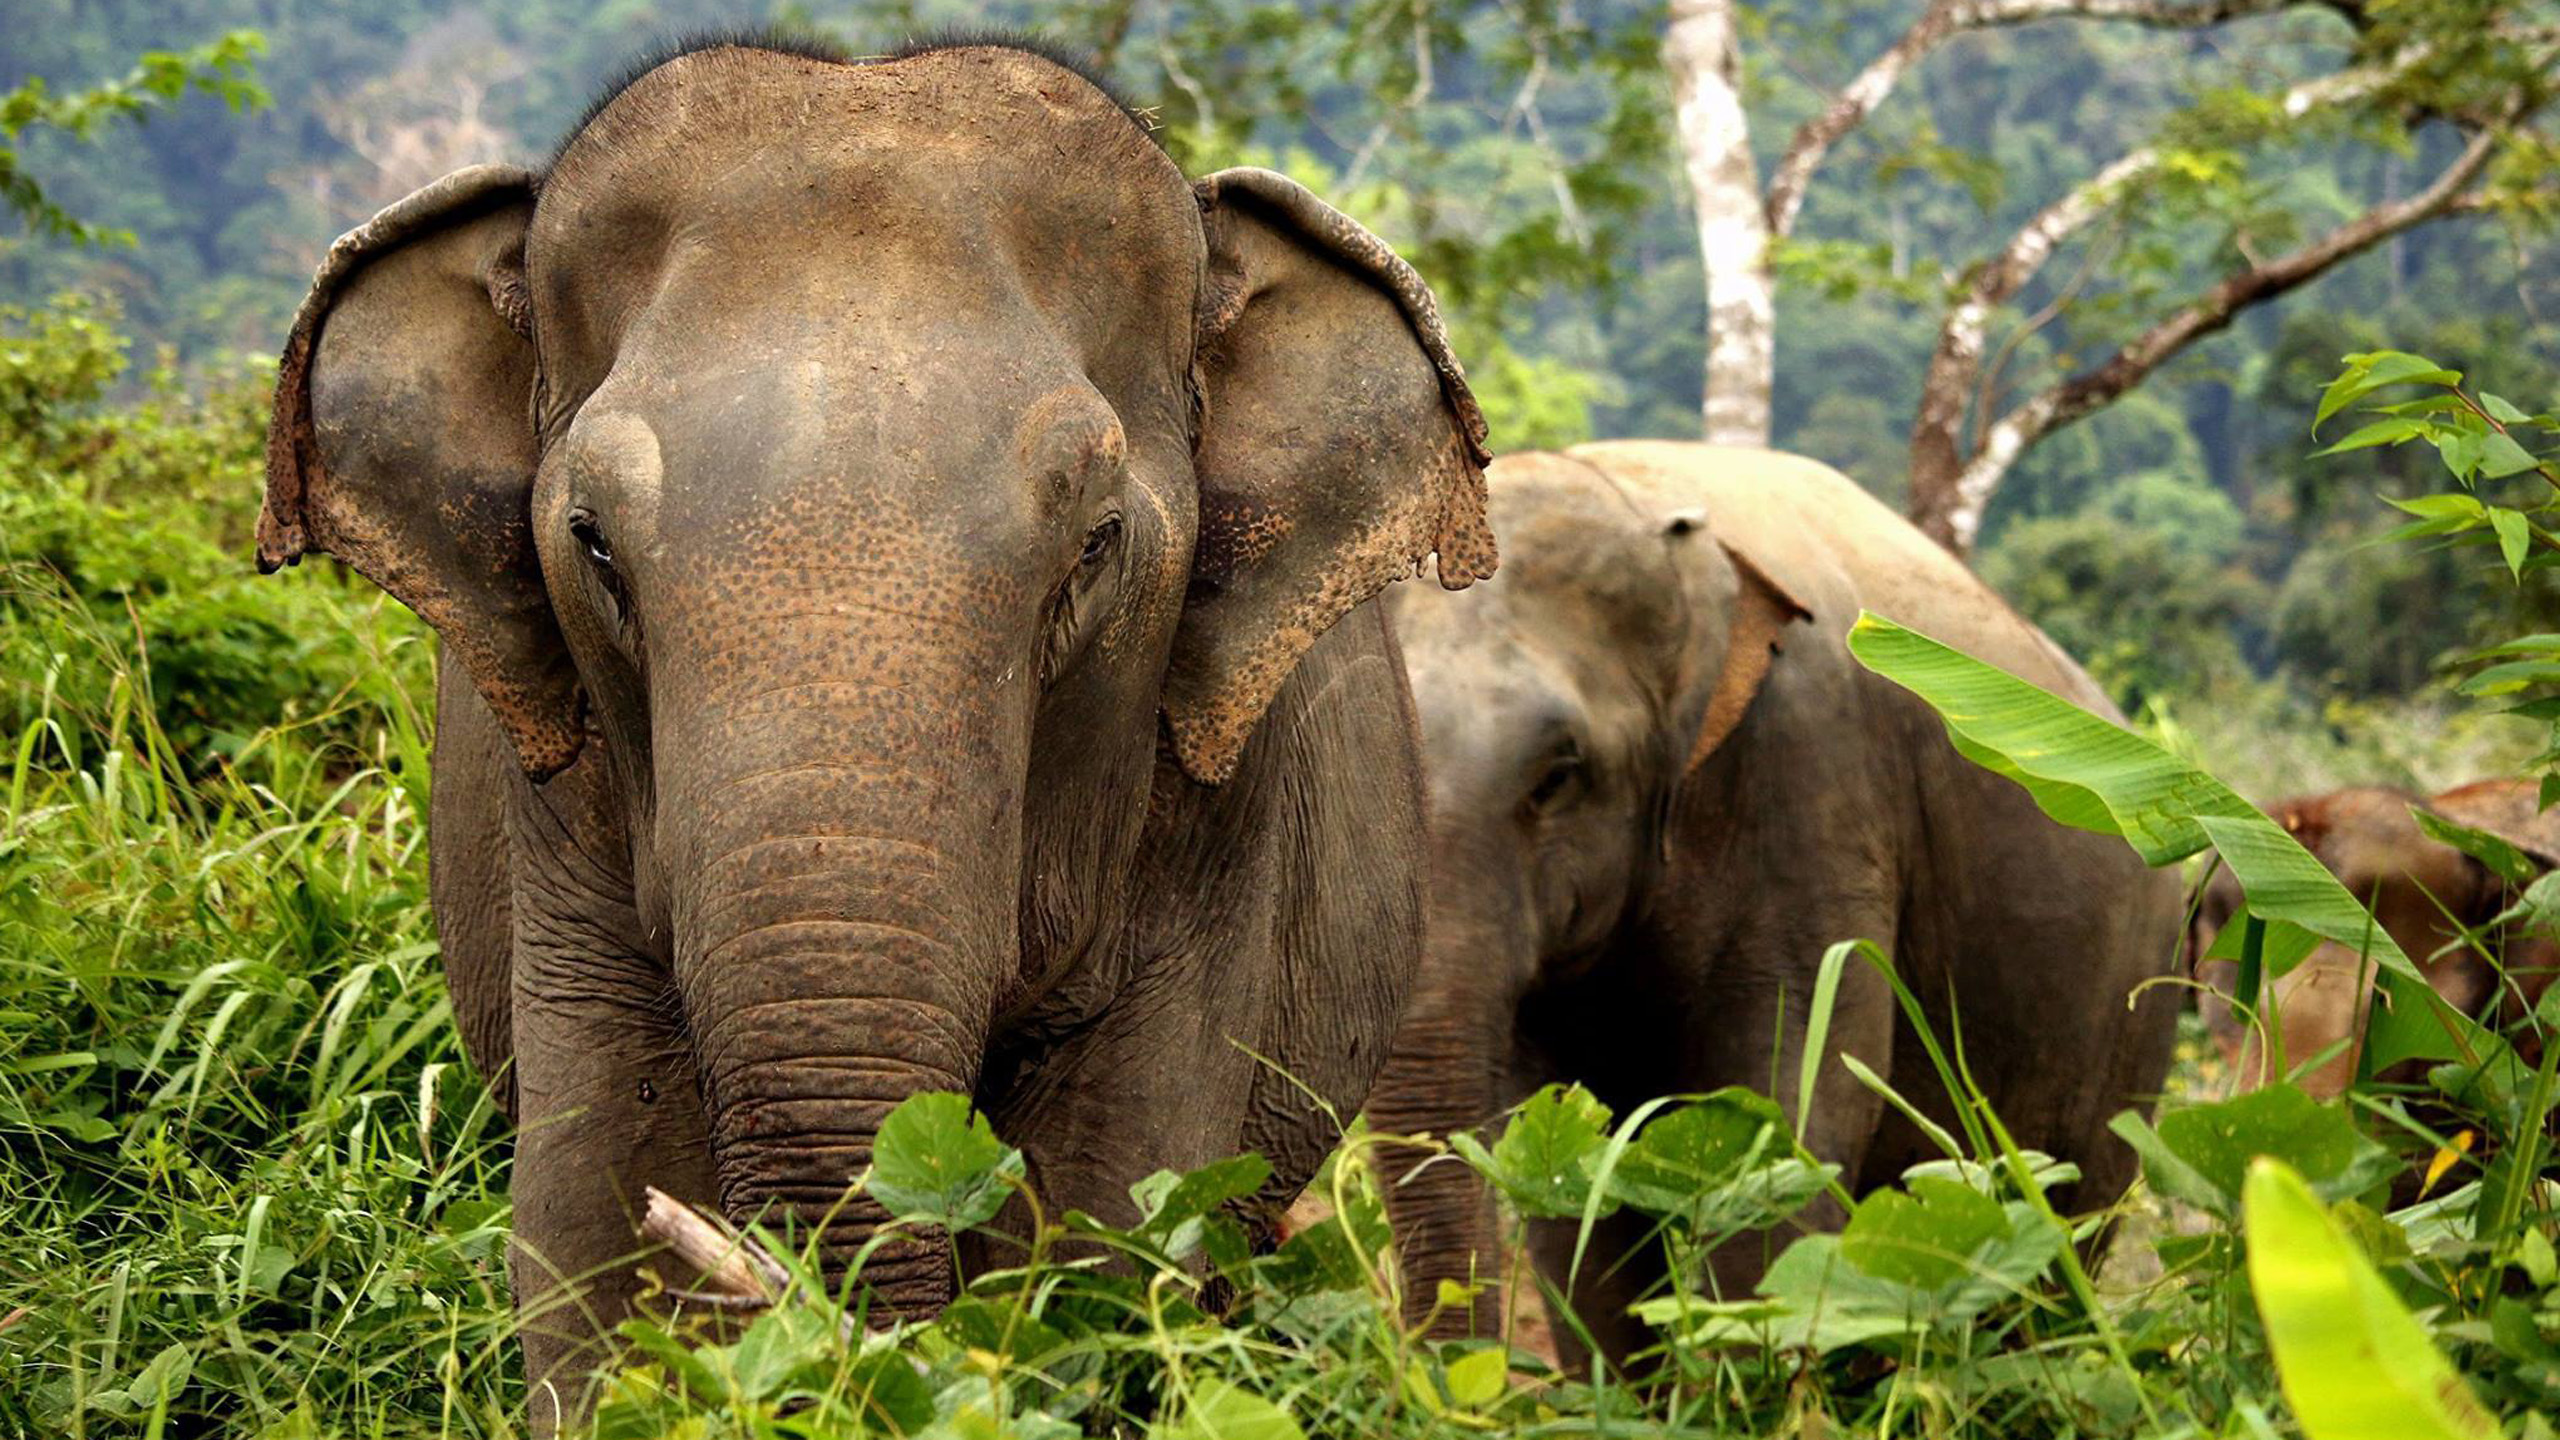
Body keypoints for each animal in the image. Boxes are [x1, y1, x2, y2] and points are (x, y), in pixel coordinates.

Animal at [254, 34, 1496, 1423]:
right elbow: (593, 1222)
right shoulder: (557, 809)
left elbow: (1115, 1218)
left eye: (1095, 545)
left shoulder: (1216, 797)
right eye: (592, 545)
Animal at [1365, 441, 2183, 1366]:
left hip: (2132, 1022)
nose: (1481, 1380)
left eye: (1558, 777)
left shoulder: (1812, 783)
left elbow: (1790, 1113)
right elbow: (1563, 1149)